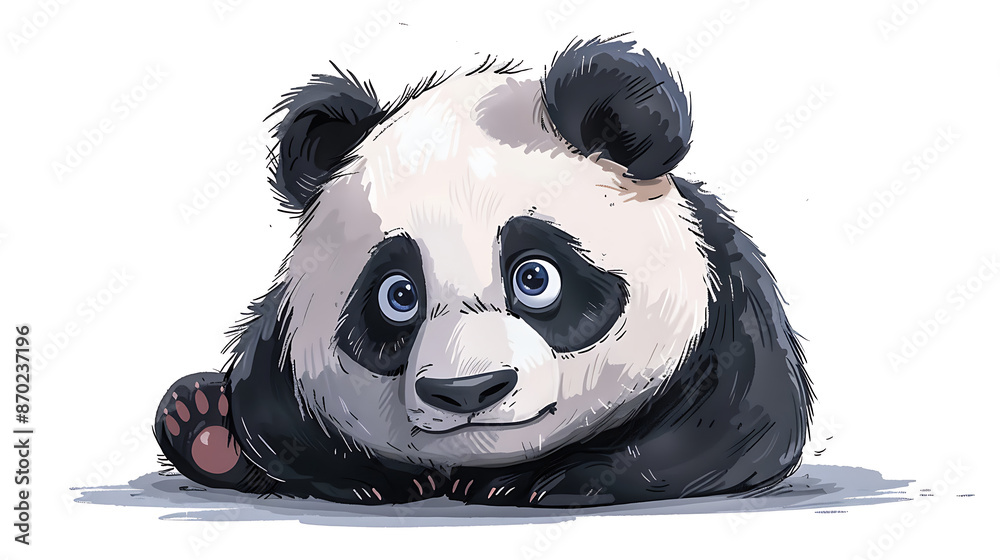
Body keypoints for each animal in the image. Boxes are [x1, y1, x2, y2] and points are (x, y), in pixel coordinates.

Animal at [154, 36, 813, 508]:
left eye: (535, 278)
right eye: (398, 295)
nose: (467, 390)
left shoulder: (723, 298)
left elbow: (734, 421)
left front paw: (546, 481)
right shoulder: (285, 338)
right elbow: (273, 412)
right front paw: (381, 480)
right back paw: (199, 422)